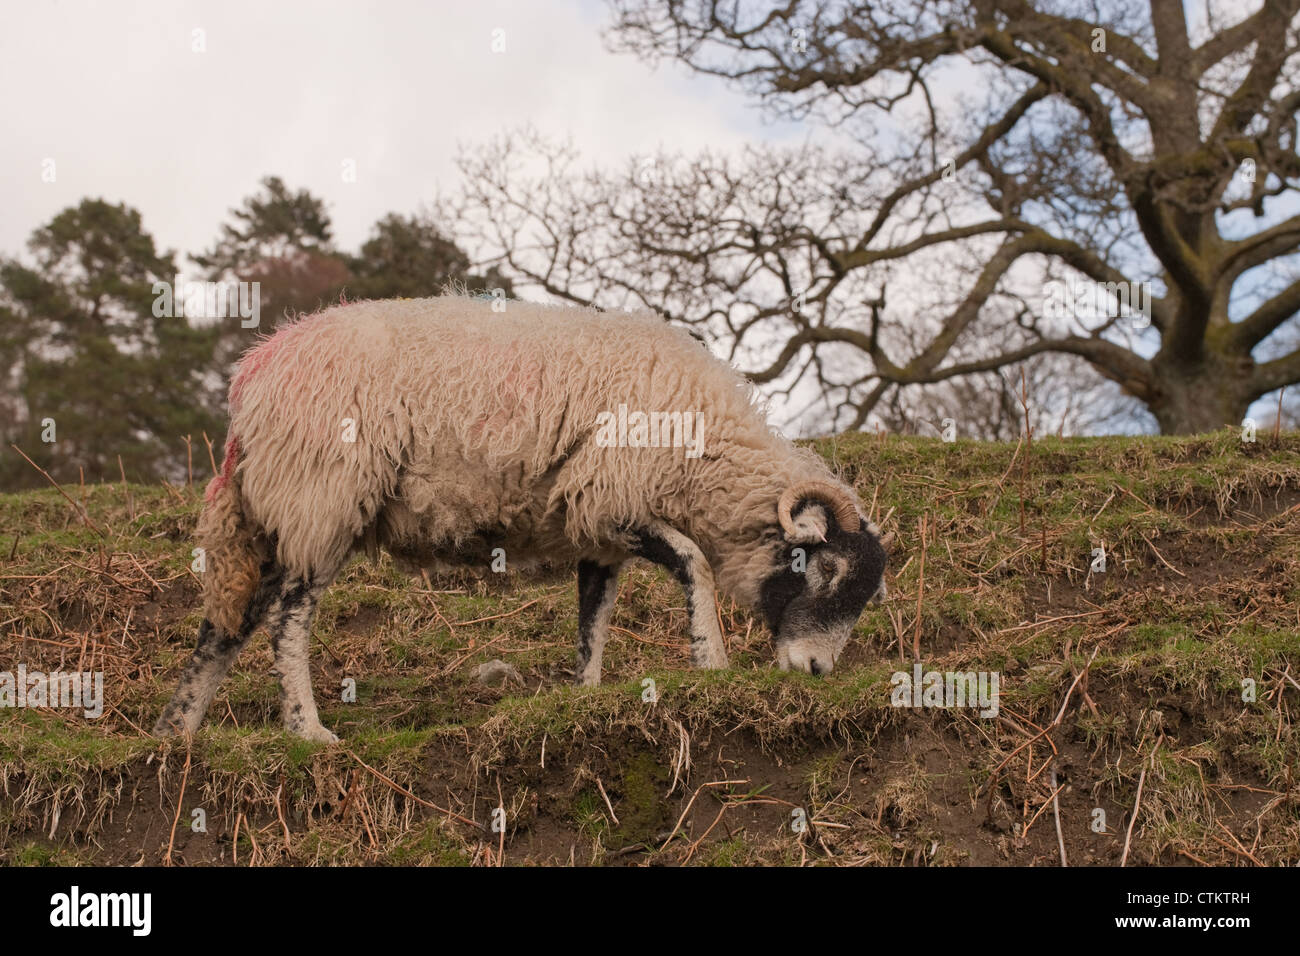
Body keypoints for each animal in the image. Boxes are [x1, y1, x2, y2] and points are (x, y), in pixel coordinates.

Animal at [154, 295, 890, 742]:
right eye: (824, 569)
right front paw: (711, 660)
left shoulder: (594, 528)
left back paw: (178, 730)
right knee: (288, 621)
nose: (816, 671)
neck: (706, 459)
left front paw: (587, 697)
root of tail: (256, 371)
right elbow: (694, 561)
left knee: (228, 622)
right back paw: (307, 730)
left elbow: (594, 618)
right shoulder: (610, 496)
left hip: (275, 512)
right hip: (323, 498)